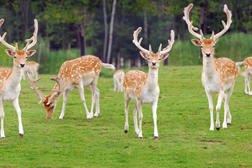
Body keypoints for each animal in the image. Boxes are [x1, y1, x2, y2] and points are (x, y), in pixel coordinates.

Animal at [183, 3, 238, 131]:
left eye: (213, 45)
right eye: (201, 46)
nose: (208, 54)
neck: (211, 79)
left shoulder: (221, 88)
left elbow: (218, 107)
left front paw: (219, 125)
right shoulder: (207, 90)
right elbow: (211, 107)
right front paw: (212, 127)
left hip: (231, 85)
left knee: (226, 103)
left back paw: (226, 123)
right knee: (225, 101)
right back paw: (229, 120)